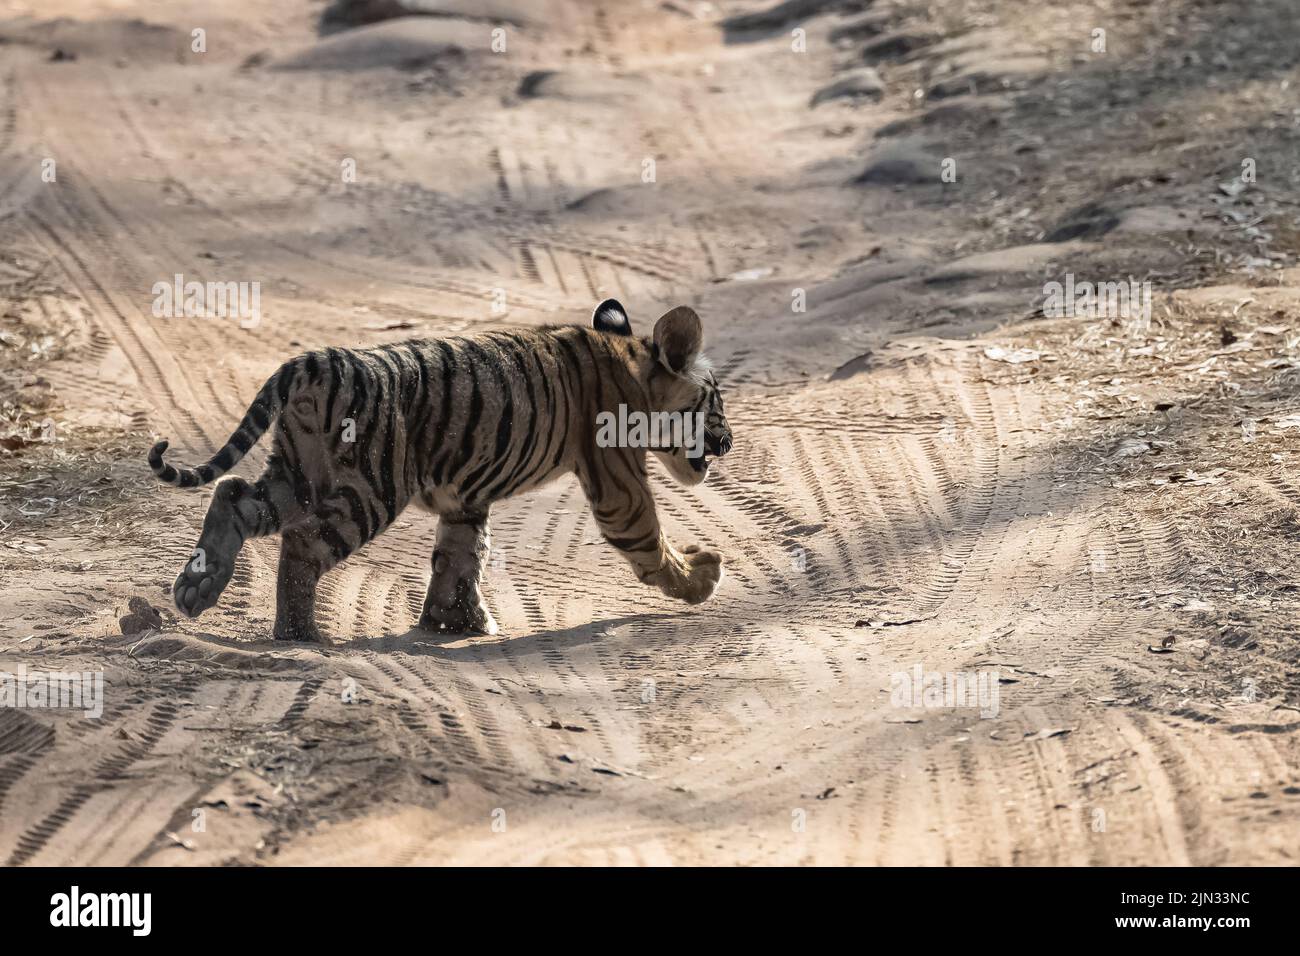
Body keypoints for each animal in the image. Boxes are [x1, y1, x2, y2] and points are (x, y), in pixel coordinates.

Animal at [148, 299, 733, 644]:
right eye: (718, 402)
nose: (729, 442)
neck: (635, 365)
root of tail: (317, 360)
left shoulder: (464, 499)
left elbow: (461, 556)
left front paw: (455, 622)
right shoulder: (619, 484)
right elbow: (651, 543)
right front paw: (702, 577)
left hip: (300, 475)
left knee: (233, 494)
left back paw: (196, 590)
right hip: (371, 488)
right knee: (300, 546)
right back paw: (300, 634)